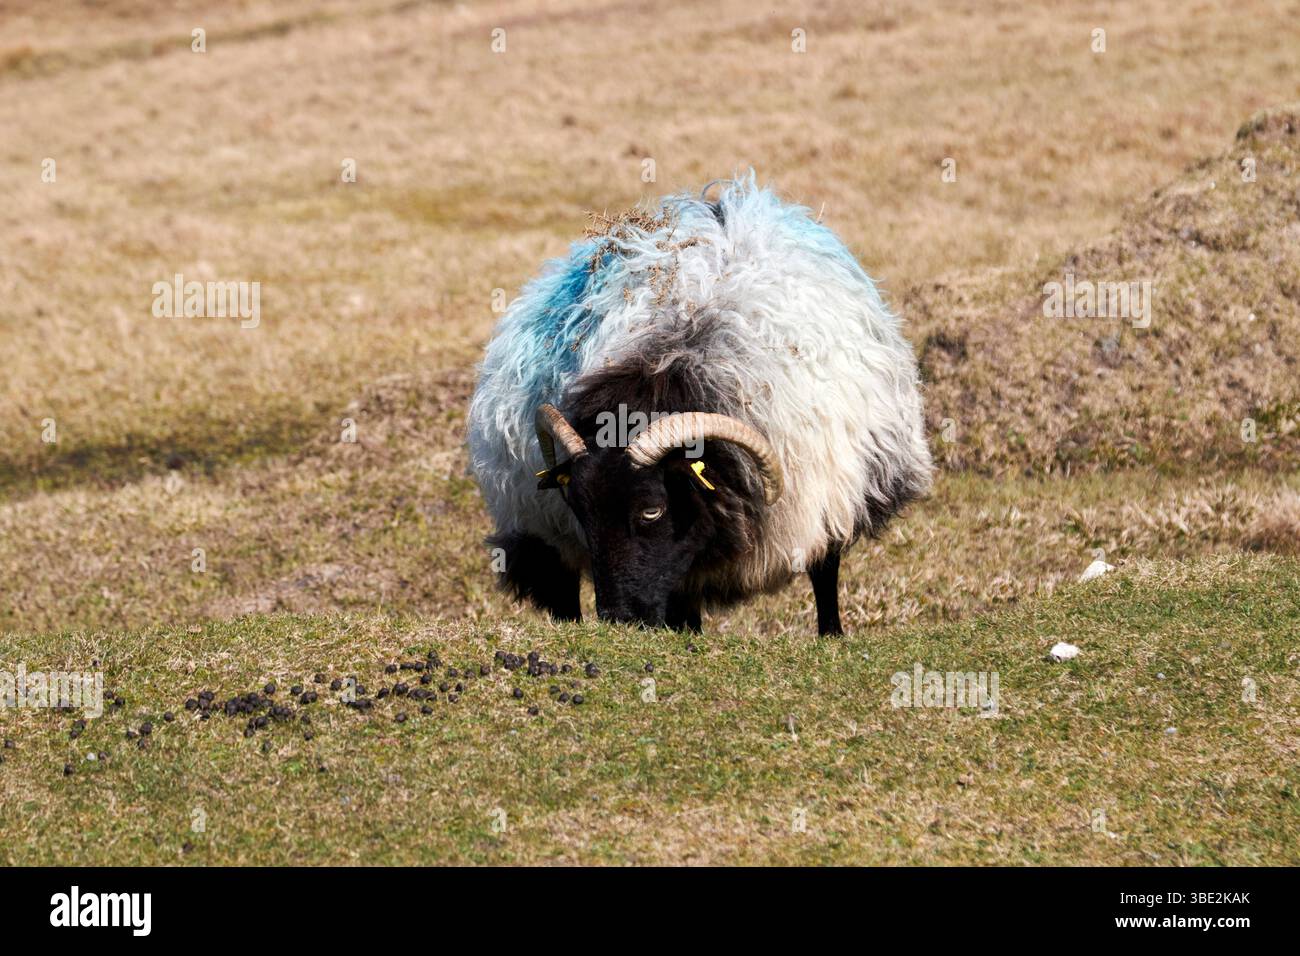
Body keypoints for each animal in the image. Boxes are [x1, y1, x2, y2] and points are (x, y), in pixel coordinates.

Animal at [467, 173, 932, 634]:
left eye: (652, 511)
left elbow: (825, 571)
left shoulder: (833, 488)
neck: (673, 357)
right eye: (579, 510)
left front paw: (831, 634)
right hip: (535, 526)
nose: (618, 619)